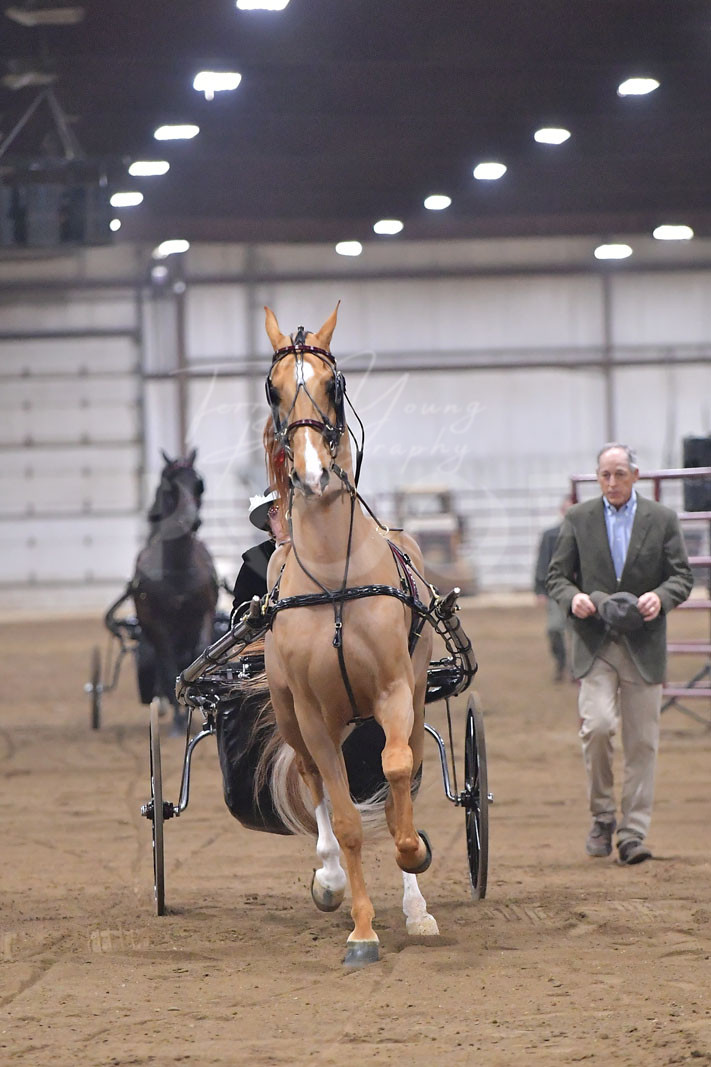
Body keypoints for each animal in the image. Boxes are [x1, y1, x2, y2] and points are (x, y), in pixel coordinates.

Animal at [133, 449, 218, 732]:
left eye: (199, 484)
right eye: (170, 487)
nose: (191, 520)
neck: (178, 569)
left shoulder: (205, 612)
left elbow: (197, 653)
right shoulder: (155, 623)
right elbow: (169, 666)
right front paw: (179, 722)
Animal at [258, 304, 438, 967]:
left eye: (332, 385)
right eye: (273, 389)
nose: (312, 474)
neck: (334, 578)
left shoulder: (391, 692)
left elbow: (395, 775)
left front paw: (414, 852)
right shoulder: (314, 714)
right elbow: (346, 819)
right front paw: (361, 930)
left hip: (414, 697)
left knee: (403, 776)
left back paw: (417, 905)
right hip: (292, 715)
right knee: (314, 784)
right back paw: (331, 879)